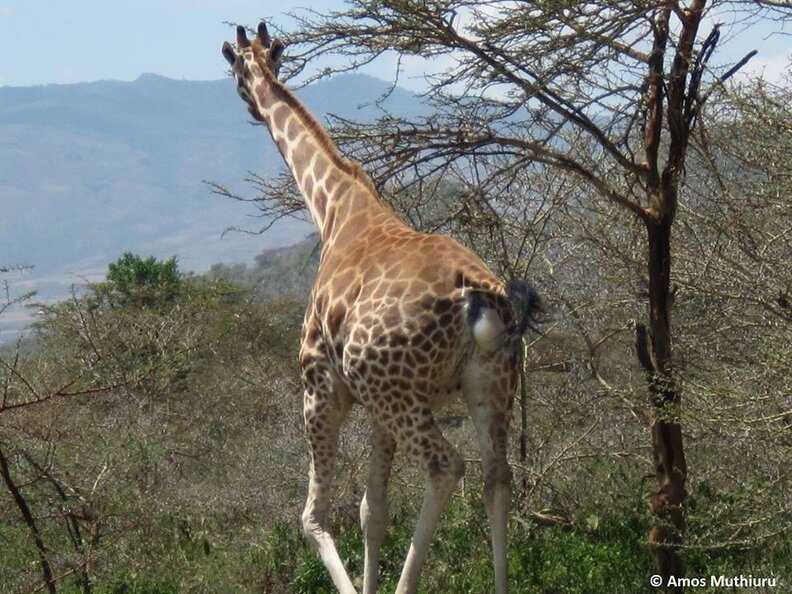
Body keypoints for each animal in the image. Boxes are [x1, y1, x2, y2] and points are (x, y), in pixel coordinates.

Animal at [222, 23, 541, 594]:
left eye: (235, 70)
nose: (251, 106)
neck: (334, 209)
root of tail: (478, 292)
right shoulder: (375, 408)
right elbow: (374, 510)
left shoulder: (324, 386)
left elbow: (314, 518)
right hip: (487, 383)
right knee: (497, 477)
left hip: (396, 394)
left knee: (445, 467)